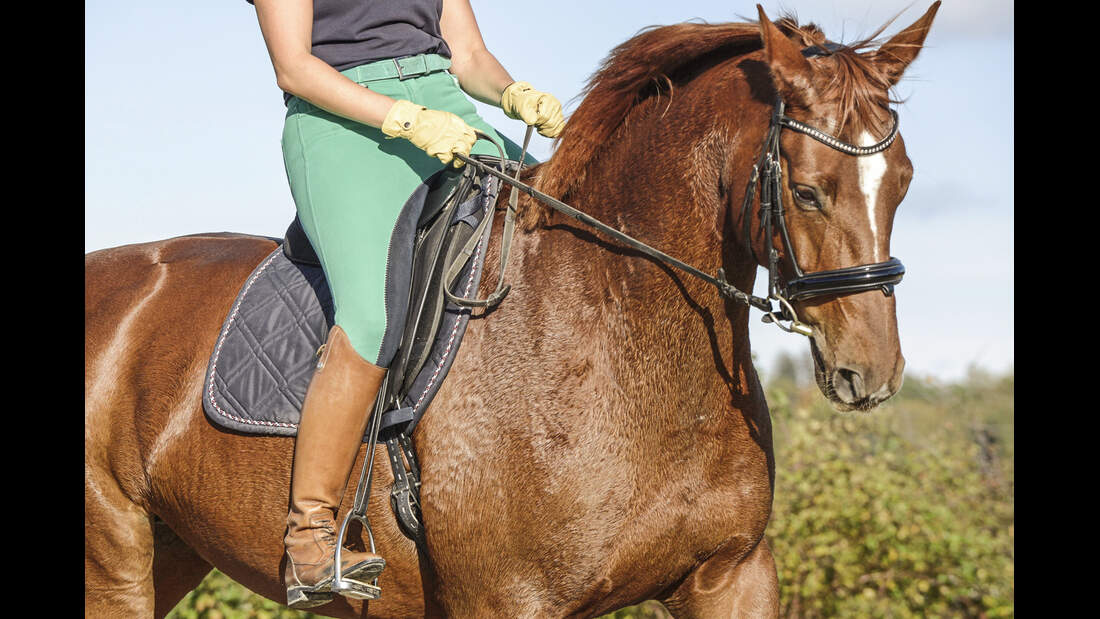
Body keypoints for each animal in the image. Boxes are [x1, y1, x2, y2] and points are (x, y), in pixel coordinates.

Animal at [85, 3, 940, 617]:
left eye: (902, 180)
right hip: (114, 563)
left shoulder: (731, 573)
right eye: (807, 190)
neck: (613, 329)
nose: (873, 371)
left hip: (171, 551)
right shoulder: (507, 599)